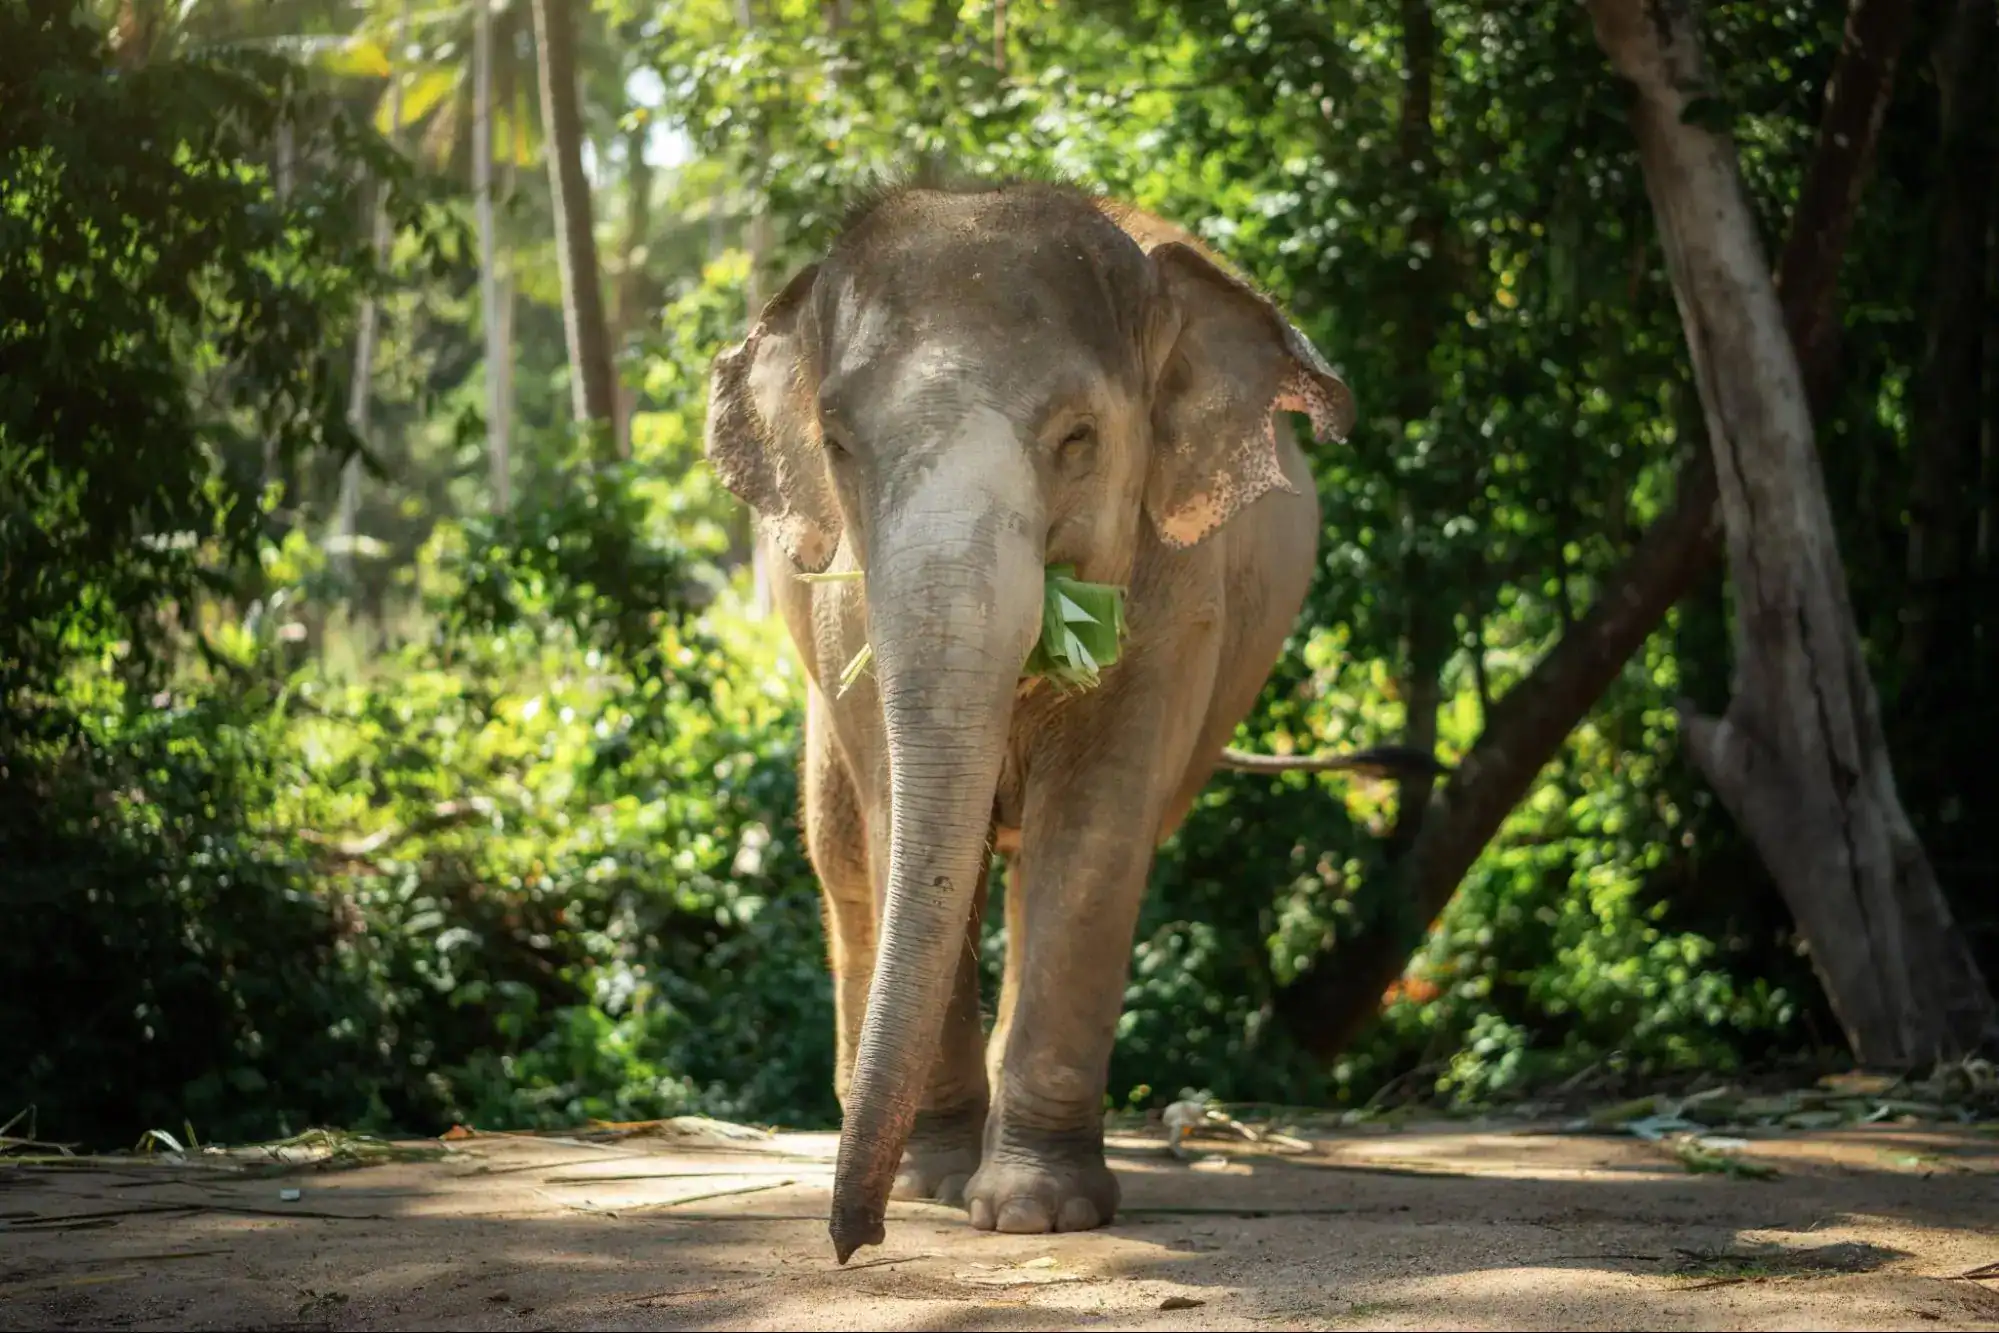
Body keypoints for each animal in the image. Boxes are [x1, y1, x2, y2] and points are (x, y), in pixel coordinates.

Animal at [704, 177, 1360, 1263]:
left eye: (1077, 438)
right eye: (837, 444)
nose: (851, 1241)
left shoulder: (1179, 592)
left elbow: (1093, 834)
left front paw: (1033, 1210)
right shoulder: (845, 613)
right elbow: (901, 825)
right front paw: (929, 1184)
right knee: (843, 854)